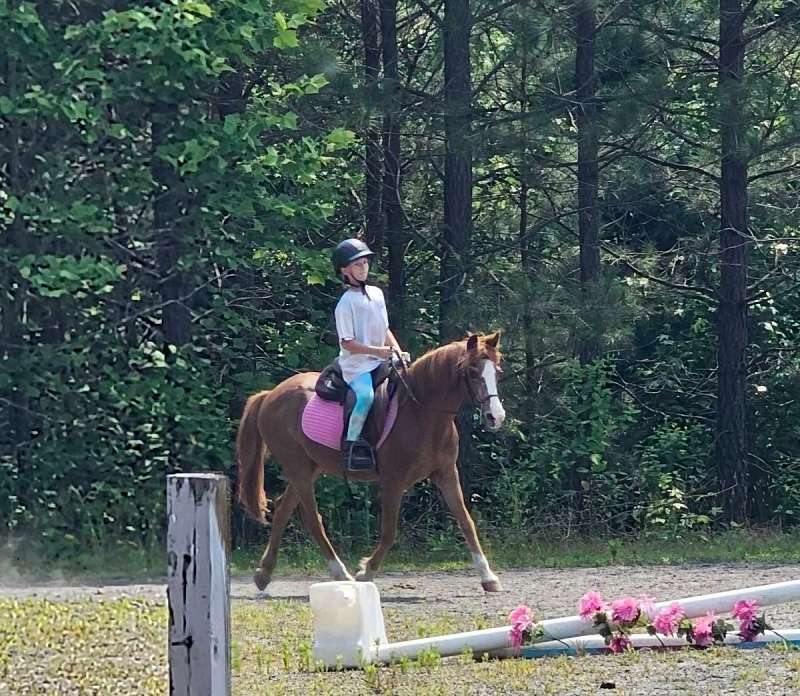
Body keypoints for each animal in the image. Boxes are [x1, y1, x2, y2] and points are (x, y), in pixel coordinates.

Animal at [235, 331, 507, 592]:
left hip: (309, 468)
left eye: (497, 371)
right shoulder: (393, 482)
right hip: (298, 468)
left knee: (283, 509)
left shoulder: (446, 473)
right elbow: (389, 532)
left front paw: (488, 577)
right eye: (473, 372)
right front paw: (366, 571)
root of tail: (270, 395)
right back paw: (340, 573)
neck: (421, 412)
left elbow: (466, 521)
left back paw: (264, 574)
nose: (496, 417)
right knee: (312, 519)